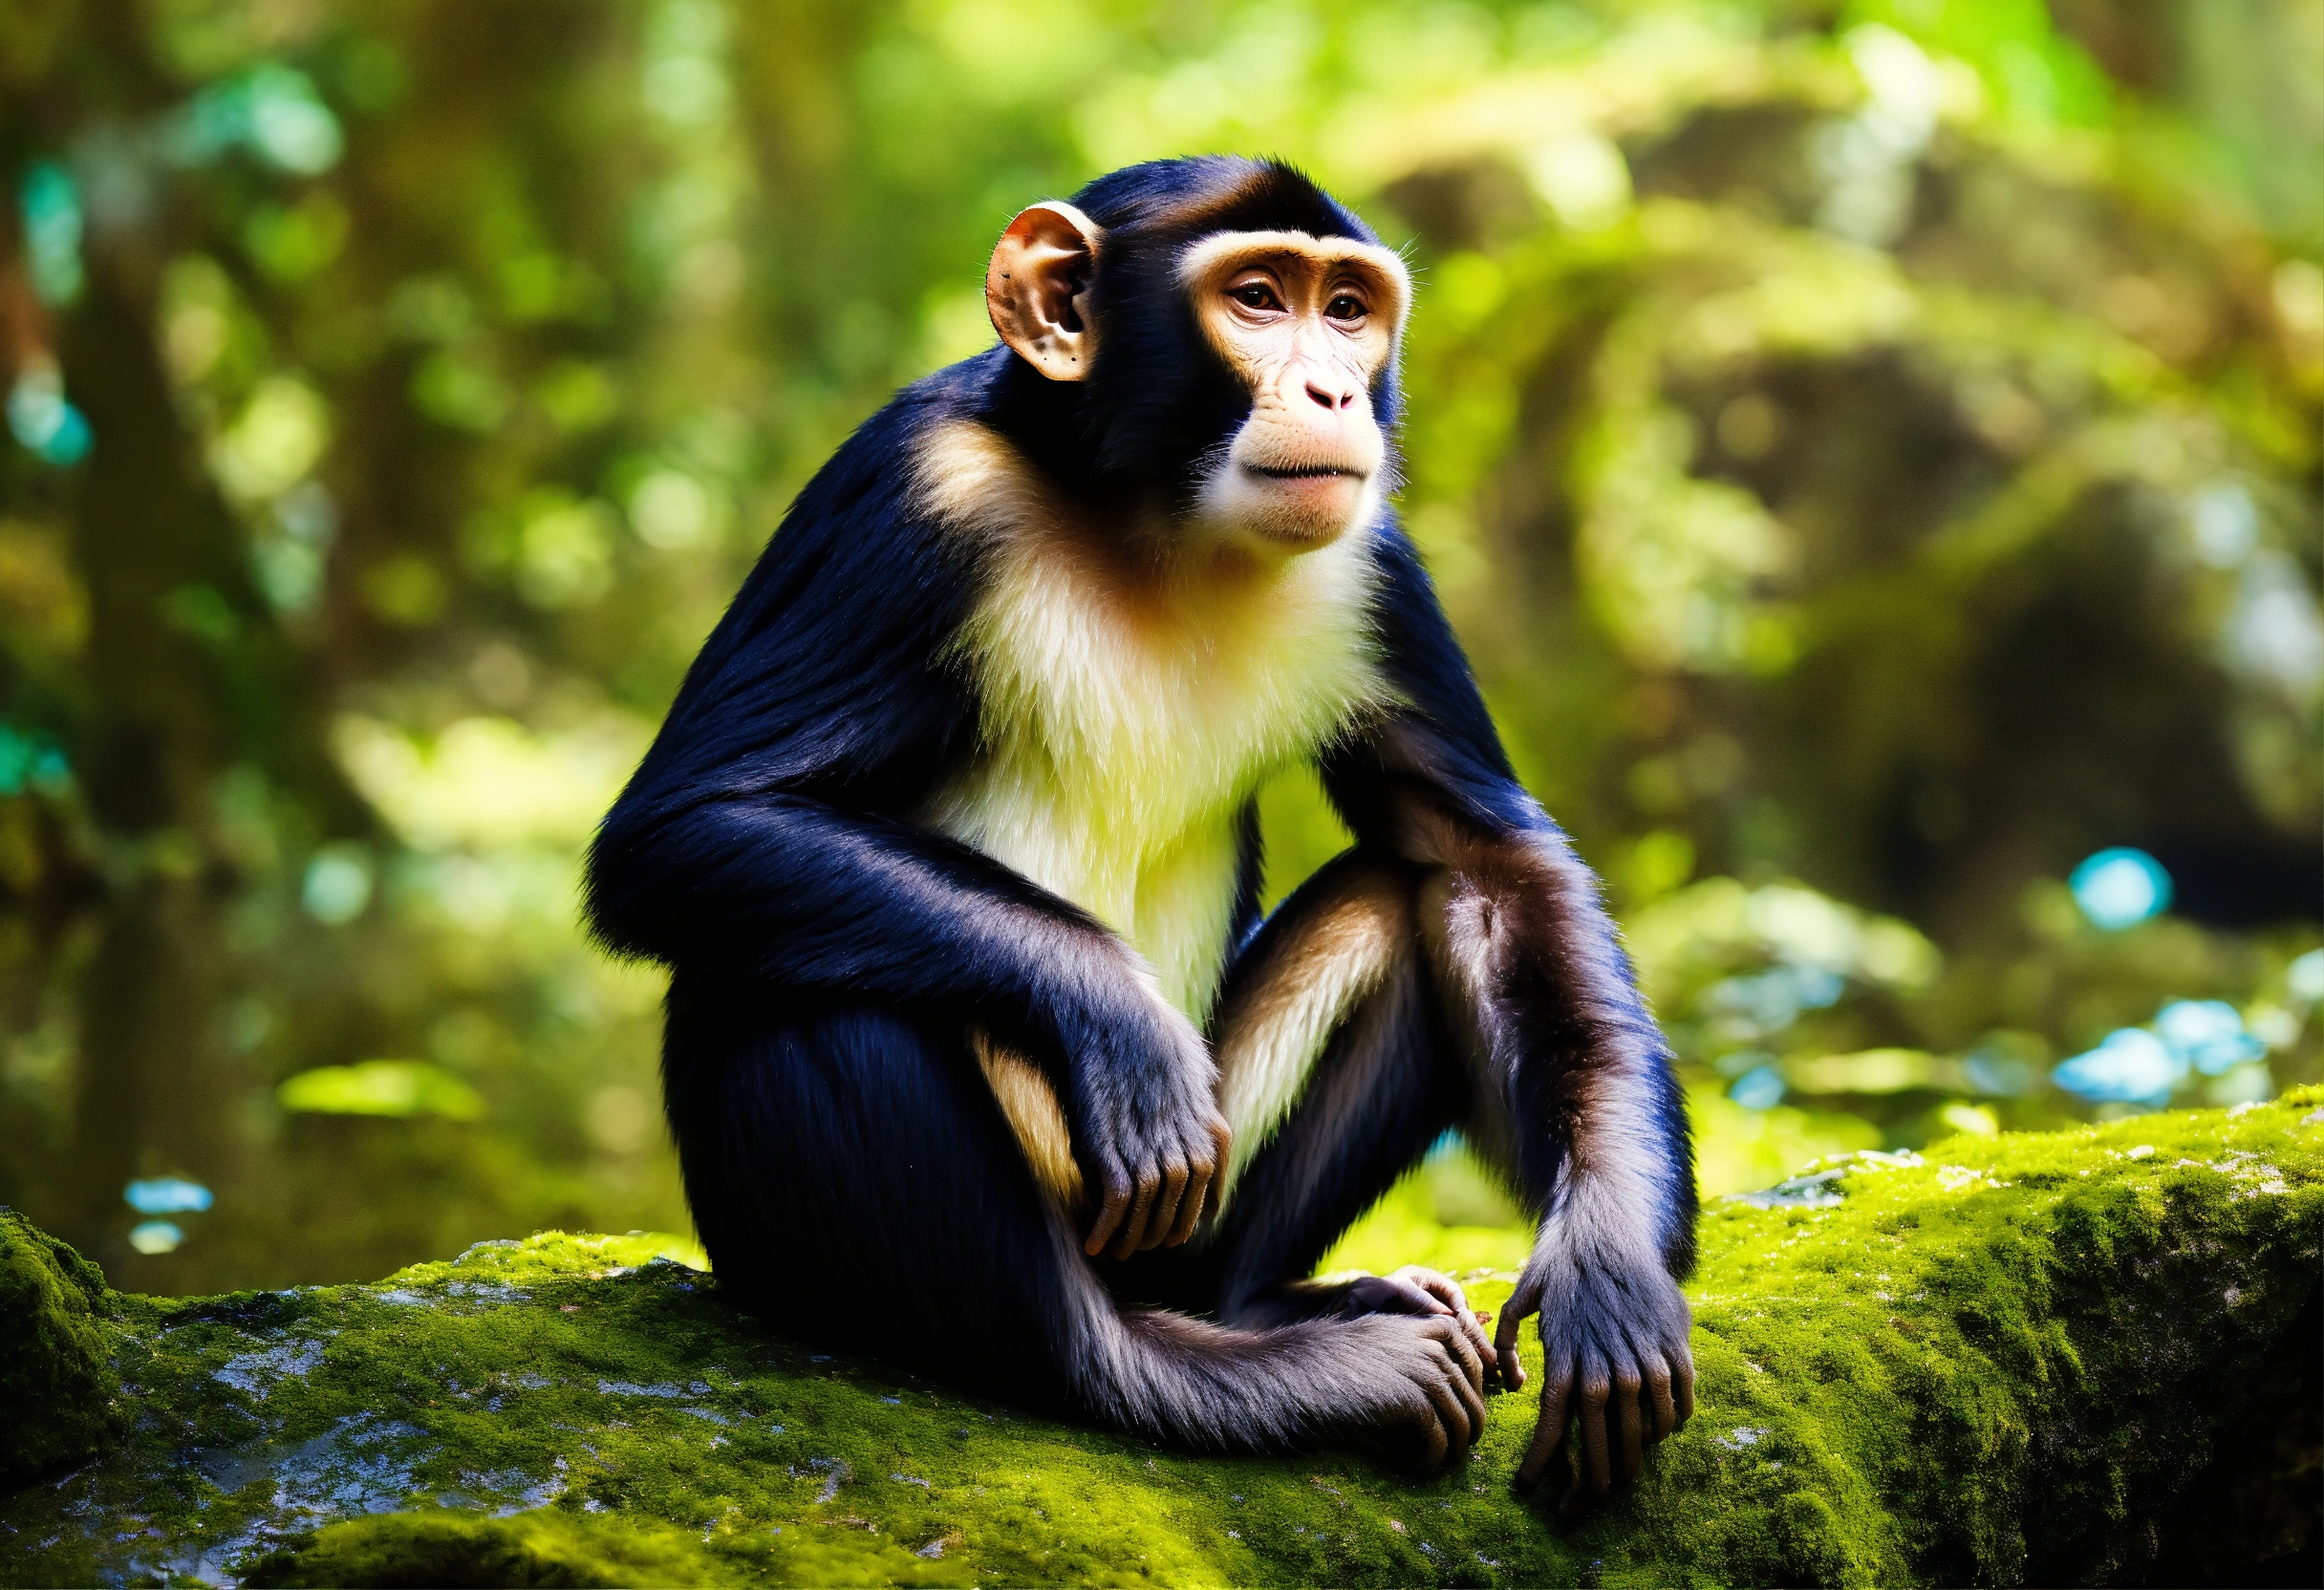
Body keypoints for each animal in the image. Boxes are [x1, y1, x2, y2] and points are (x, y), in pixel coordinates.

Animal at [587, 156, 1696, 1498]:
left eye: (1346, 311)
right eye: (1257, 298)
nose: (1333, 387)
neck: (1147, 513)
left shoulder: (1375, 562)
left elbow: (1485, 860)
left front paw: (1607, 1270)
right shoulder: (905, 490)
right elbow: (692, 821)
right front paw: (1114, 1012)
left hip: (1176, 1236)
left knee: (1402, 902)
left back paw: (1266, 1311)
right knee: (812, 1005)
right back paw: (1189, 1369)